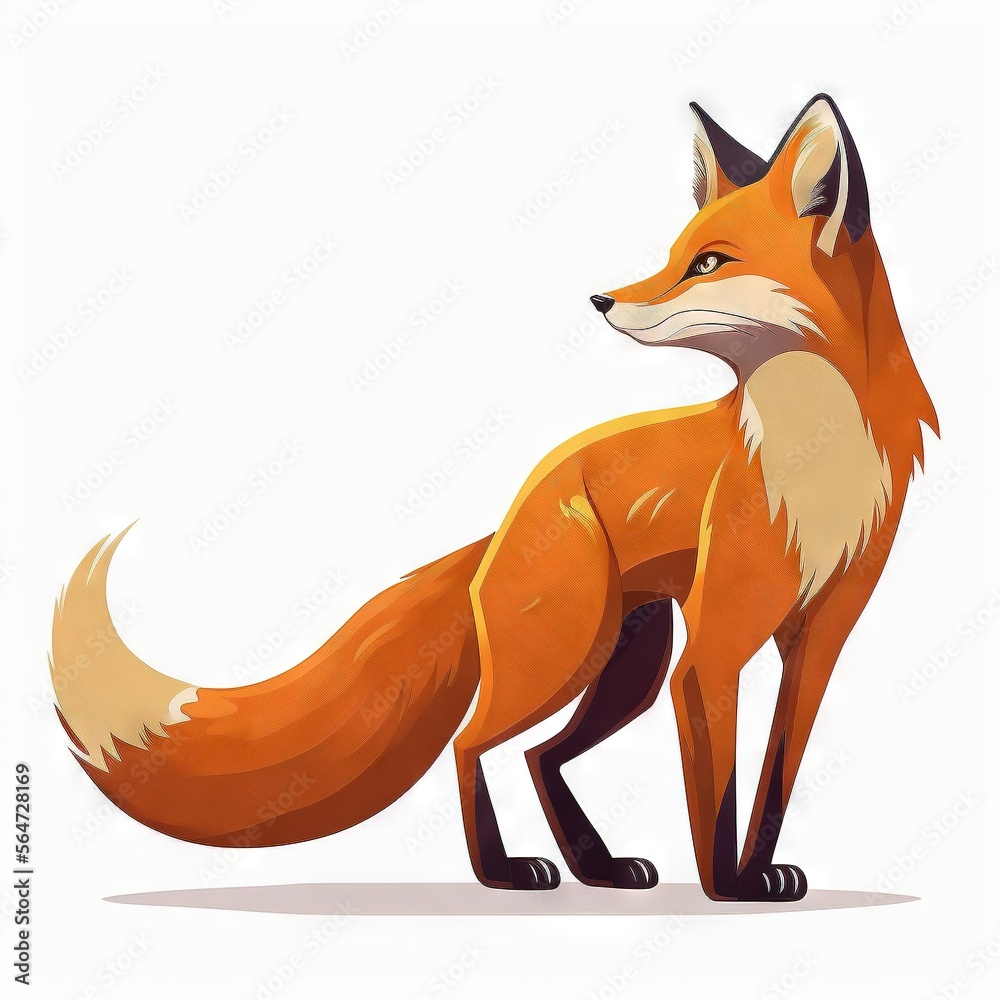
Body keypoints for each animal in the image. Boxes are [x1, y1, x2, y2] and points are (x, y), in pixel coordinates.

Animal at [51, 94, 936, 901]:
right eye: (675, 253)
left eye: (710, 263)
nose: (601, 300)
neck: (813, 458)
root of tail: (513, 512)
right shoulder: (713, 651)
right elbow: (714, 795)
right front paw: (729, 885)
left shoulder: (817, 644)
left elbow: (777, 779)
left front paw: (757, 872)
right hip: (571, 656)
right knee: (474, 743)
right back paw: (506, 871)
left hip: (624, 664)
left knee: (540, 754)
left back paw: (597, 866)